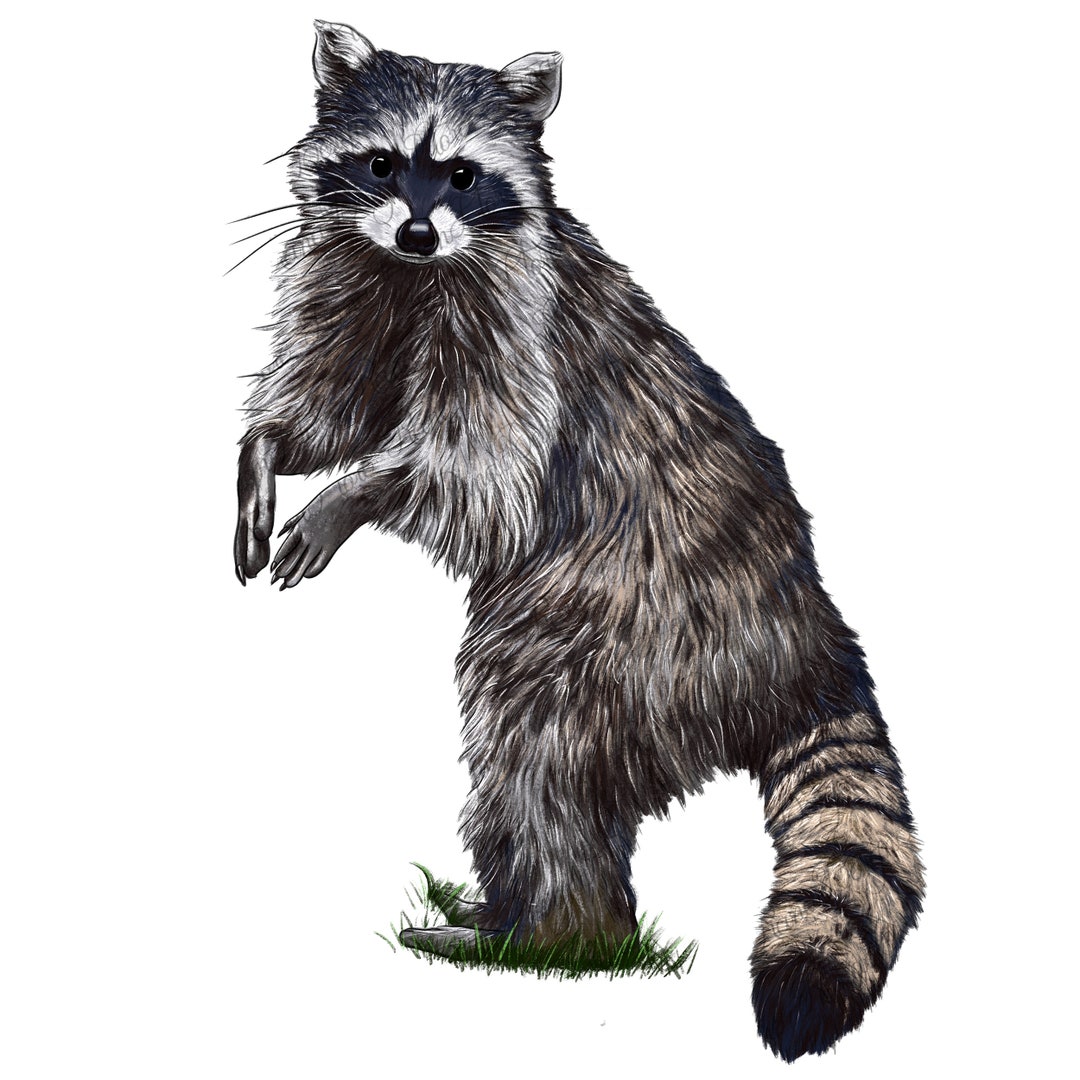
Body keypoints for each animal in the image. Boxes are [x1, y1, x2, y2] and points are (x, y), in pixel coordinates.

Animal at [233, 21, 924, 1061]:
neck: (415, 273)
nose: (418, 231)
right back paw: (511, 914)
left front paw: (354, 493)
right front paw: (268, 449)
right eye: (383, 162)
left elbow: (483, 470)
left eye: (463, 173)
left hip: (632, 628)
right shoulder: (351, 276)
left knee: (533, 743)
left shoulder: (518, 330)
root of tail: (807, 643)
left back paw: (553, 932)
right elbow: (333, 401)